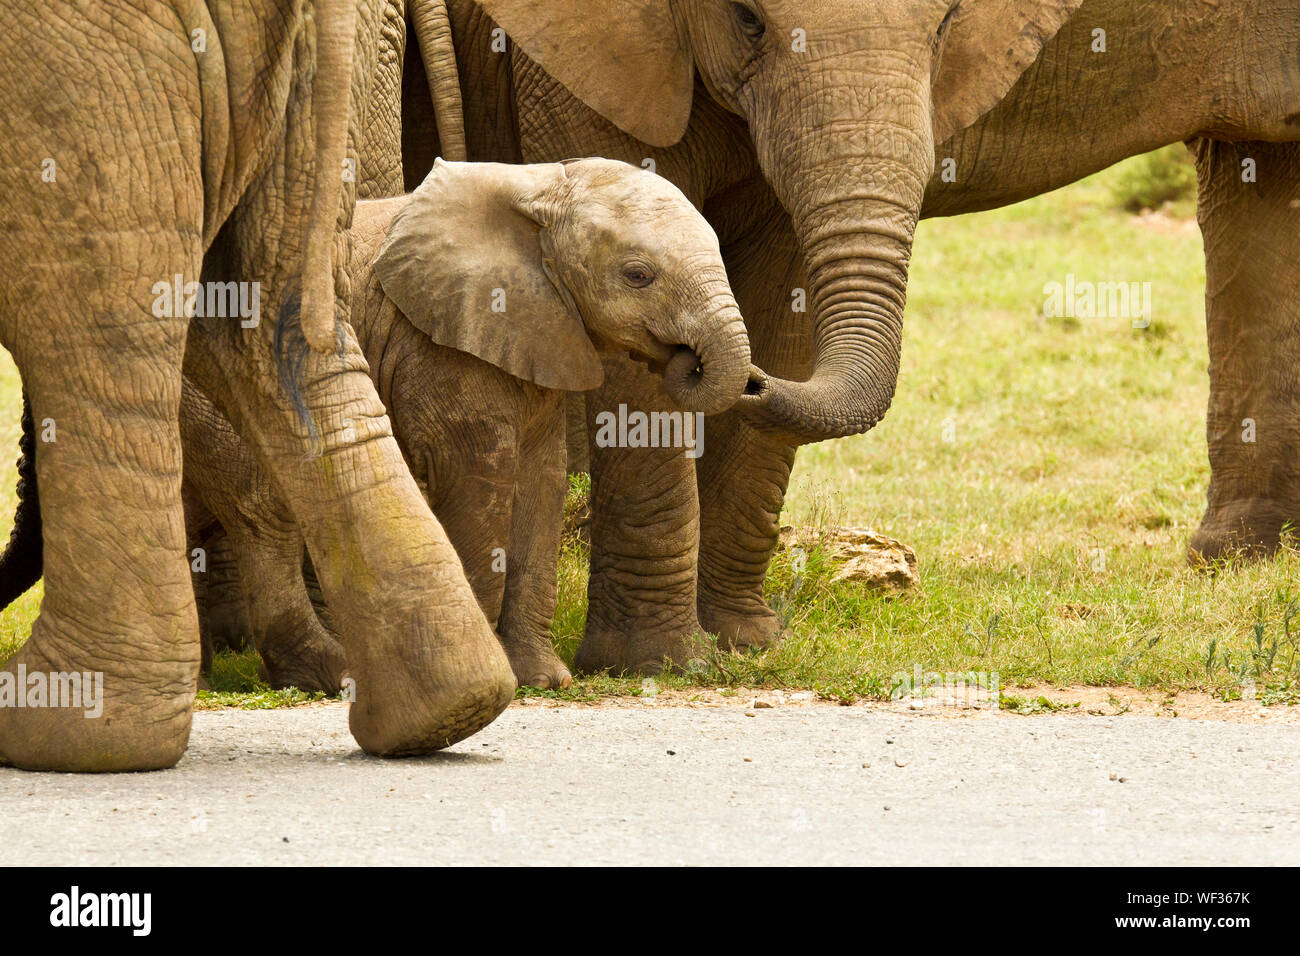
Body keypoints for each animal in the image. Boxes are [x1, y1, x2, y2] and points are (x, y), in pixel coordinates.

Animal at [183, 157, 752, 692]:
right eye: (638, 275)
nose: (687, 360)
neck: (540, 187)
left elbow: (541, 485)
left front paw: (545, 679)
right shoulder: (438, 344)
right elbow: (478, 482)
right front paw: (498, 673)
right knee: (262, 503)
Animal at [385, 0, 1300, 674]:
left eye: (948, 23)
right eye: (748, 18)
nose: (731, 372)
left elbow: (784, 286)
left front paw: (744, 645)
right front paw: (657, 664)